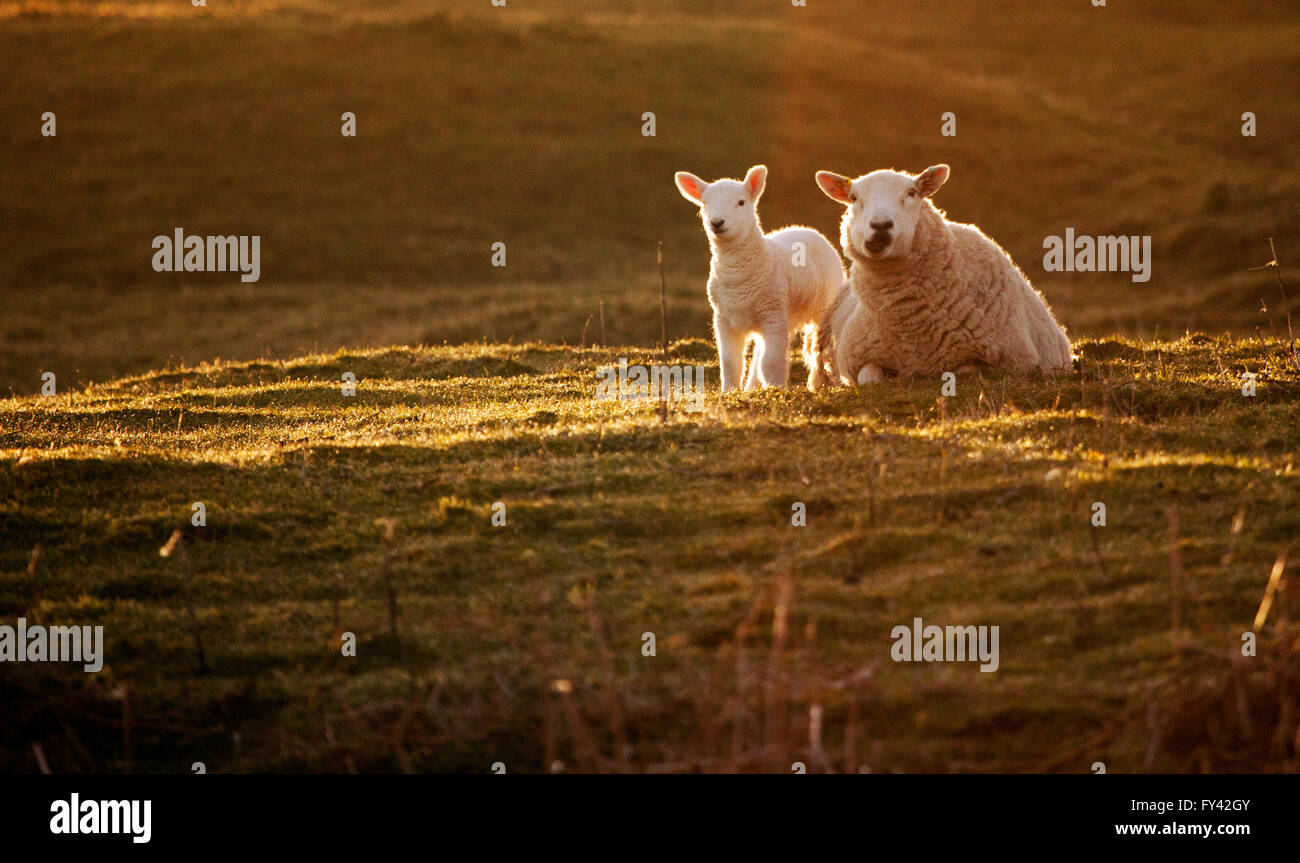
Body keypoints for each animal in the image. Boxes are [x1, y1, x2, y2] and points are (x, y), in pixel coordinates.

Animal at [675, 165, 845, 391]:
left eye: (741, 202)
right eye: (704, 203)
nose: (717, 222)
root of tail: (806, 229)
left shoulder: (772, 314)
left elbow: (771, 360)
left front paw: (776, 388)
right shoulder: (724, 318)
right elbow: (730, 361)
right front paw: (730, 391)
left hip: (823, 307)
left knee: (825, 346)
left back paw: (828, 382)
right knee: (759, 353)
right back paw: (752, 388)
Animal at [811, 165, 1072, 387]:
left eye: (912, 192)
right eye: (854, 198)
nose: (881, 225)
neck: (911, 326)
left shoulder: (997, 360)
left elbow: (965, 370)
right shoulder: (859, 359)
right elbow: (869, 378)